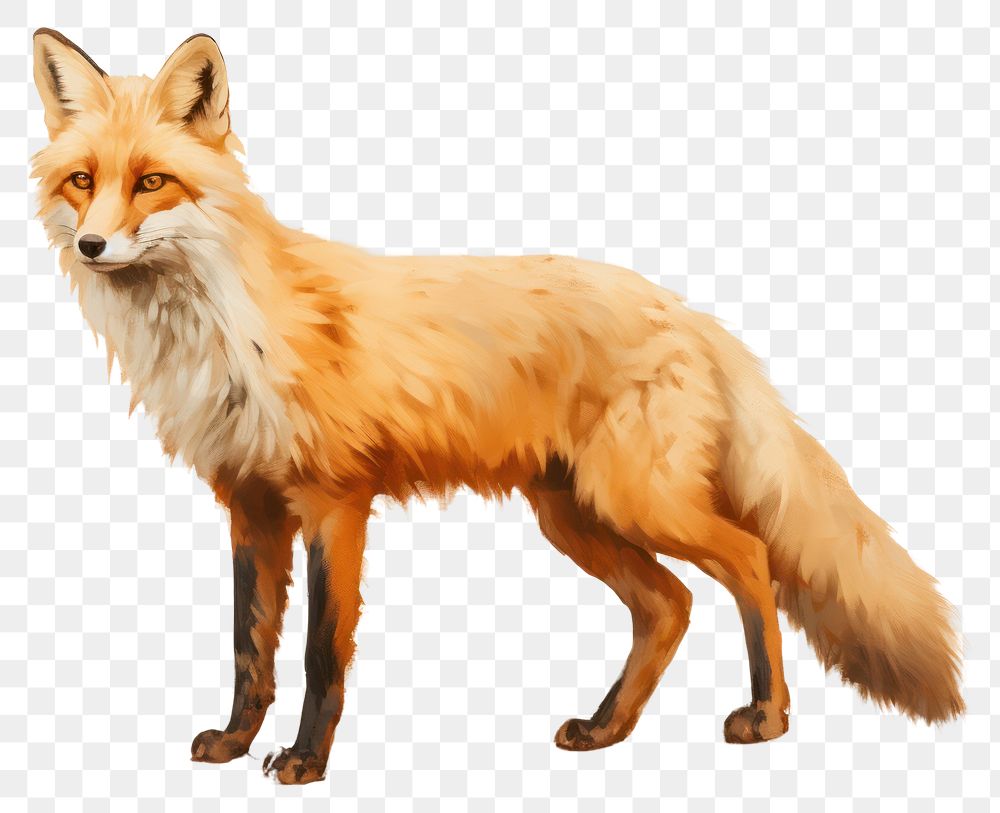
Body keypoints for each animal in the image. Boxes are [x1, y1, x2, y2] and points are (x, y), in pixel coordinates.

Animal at [31, 28, 964, 784]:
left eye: (152, 181)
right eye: (83, 180)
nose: (94, 244)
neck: (223, 334)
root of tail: (689, 312)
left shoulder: (336, 501)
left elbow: (321, 652)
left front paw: (305, 760)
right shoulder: (250, 503)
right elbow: (247, 645)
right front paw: (233, 740)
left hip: (637, 501)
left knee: (752, 560)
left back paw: (767, 717)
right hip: (575, 514)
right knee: (670, 604)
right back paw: (607, 728)